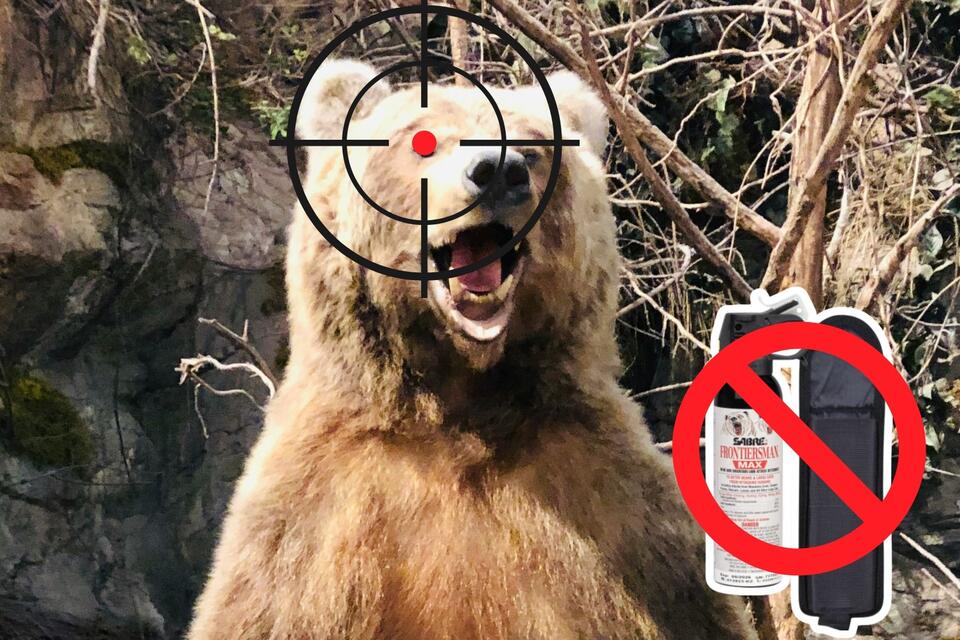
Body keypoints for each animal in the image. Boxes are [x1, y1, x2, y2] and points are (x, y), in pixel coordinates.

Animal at [187, 59, 756, 640]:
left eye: (532, 147)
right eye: (423, 140)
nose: (499, 172)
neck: (462, 398)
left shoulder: (615, 518)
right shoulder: (315, 525)